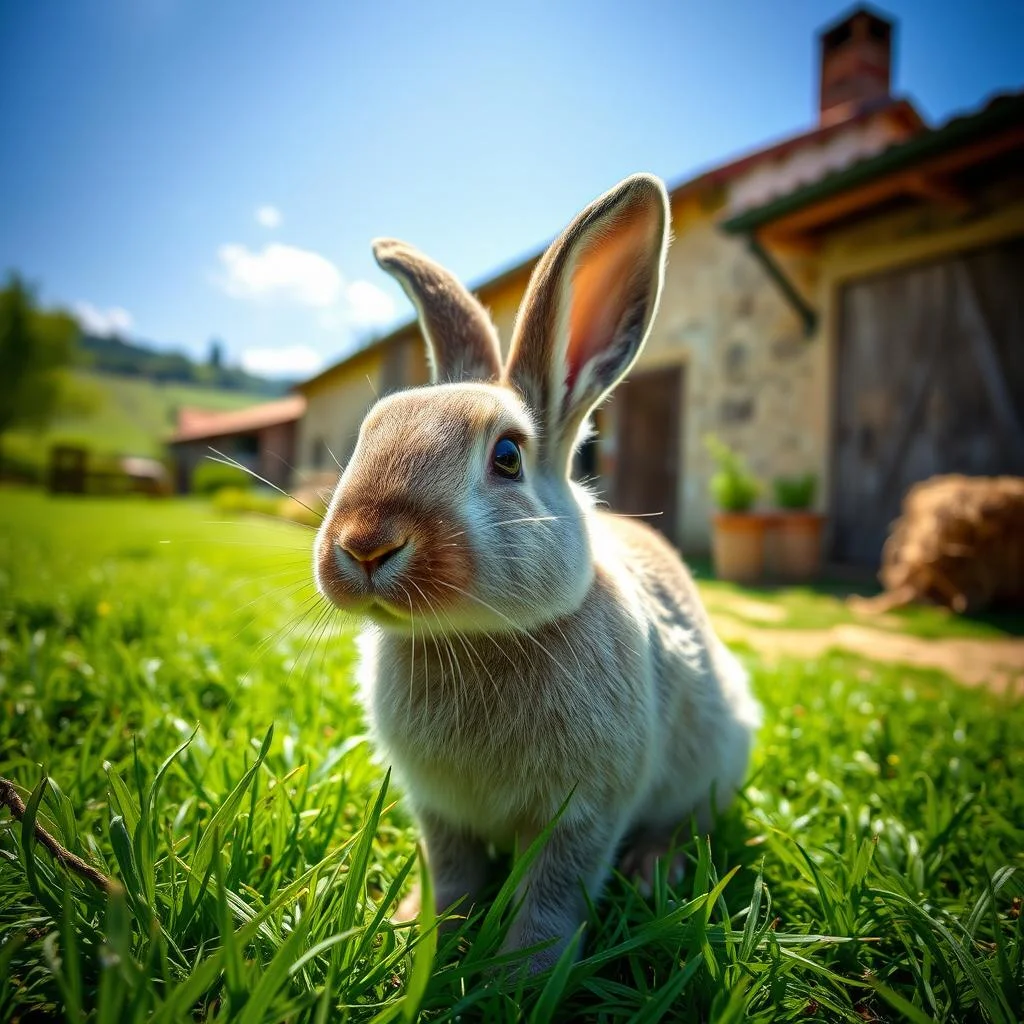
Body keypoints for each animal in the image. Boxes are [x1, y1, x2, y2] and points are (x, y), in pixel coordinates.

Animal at [313, 173, 760, 974]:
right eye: (368, 434)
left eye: (507, 457)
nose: (365, 545)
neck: (475, 638)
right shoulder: (439, 812)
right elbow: (454, 874)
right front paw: (423, 930)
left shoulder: (584, 812)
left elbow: (552, 894)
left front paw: (521, 974)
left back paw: (656, 865)